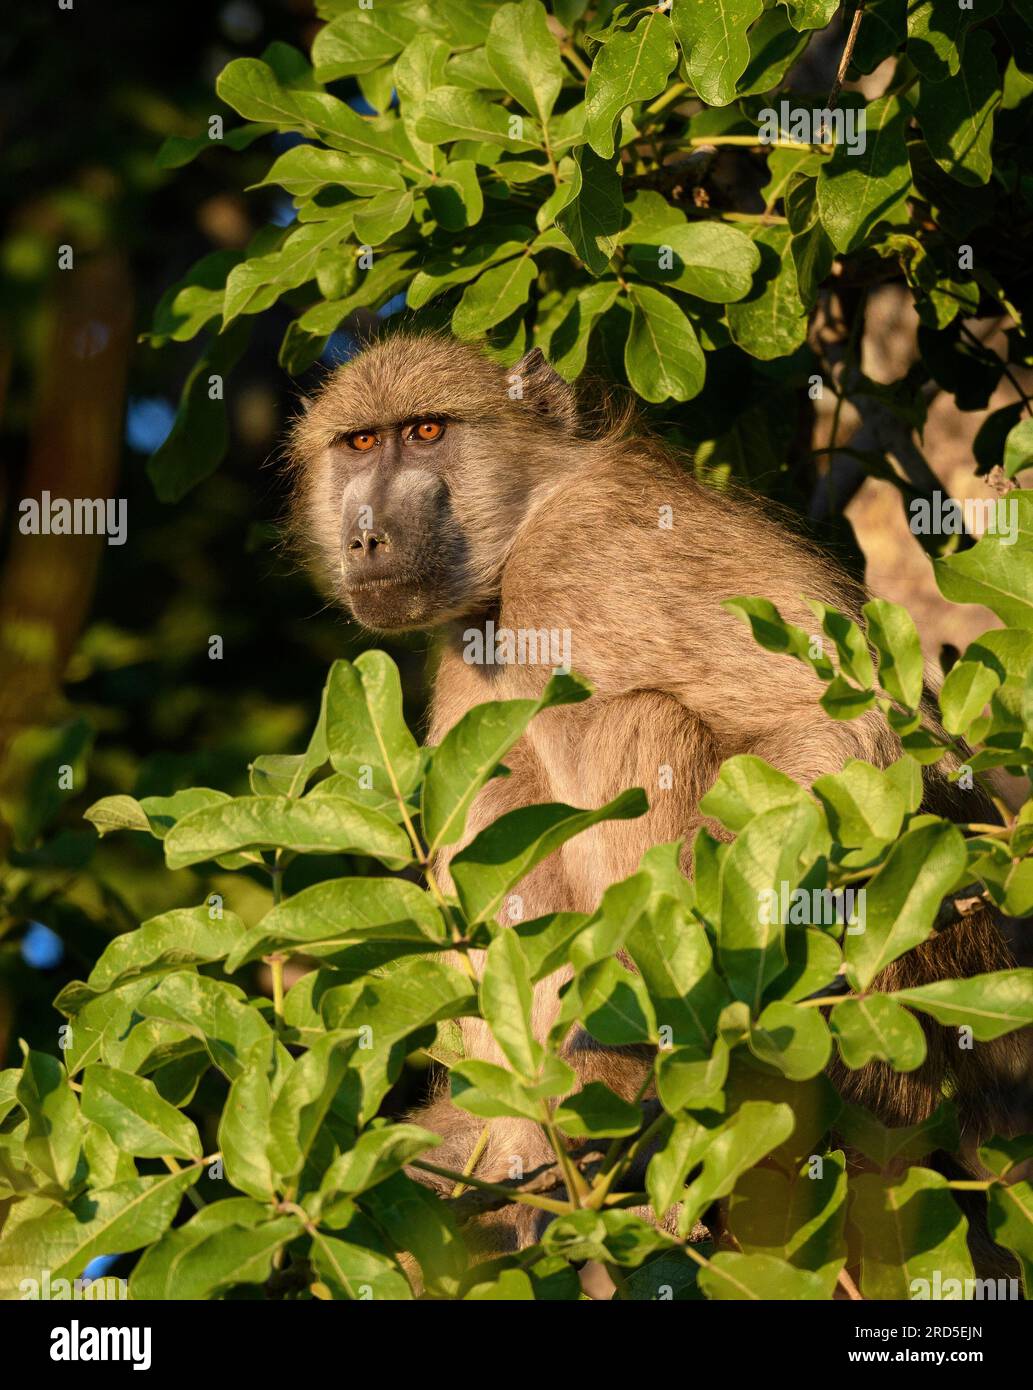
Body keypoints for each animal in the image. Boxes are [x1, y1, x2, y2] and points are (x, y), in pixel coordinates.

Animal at [287, 331, 1024, 1257]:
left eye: (425, 432)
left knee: (633, 725)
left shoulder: (586, 558)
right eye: (357, 444)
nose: (368, 537)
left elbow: (847, 742)